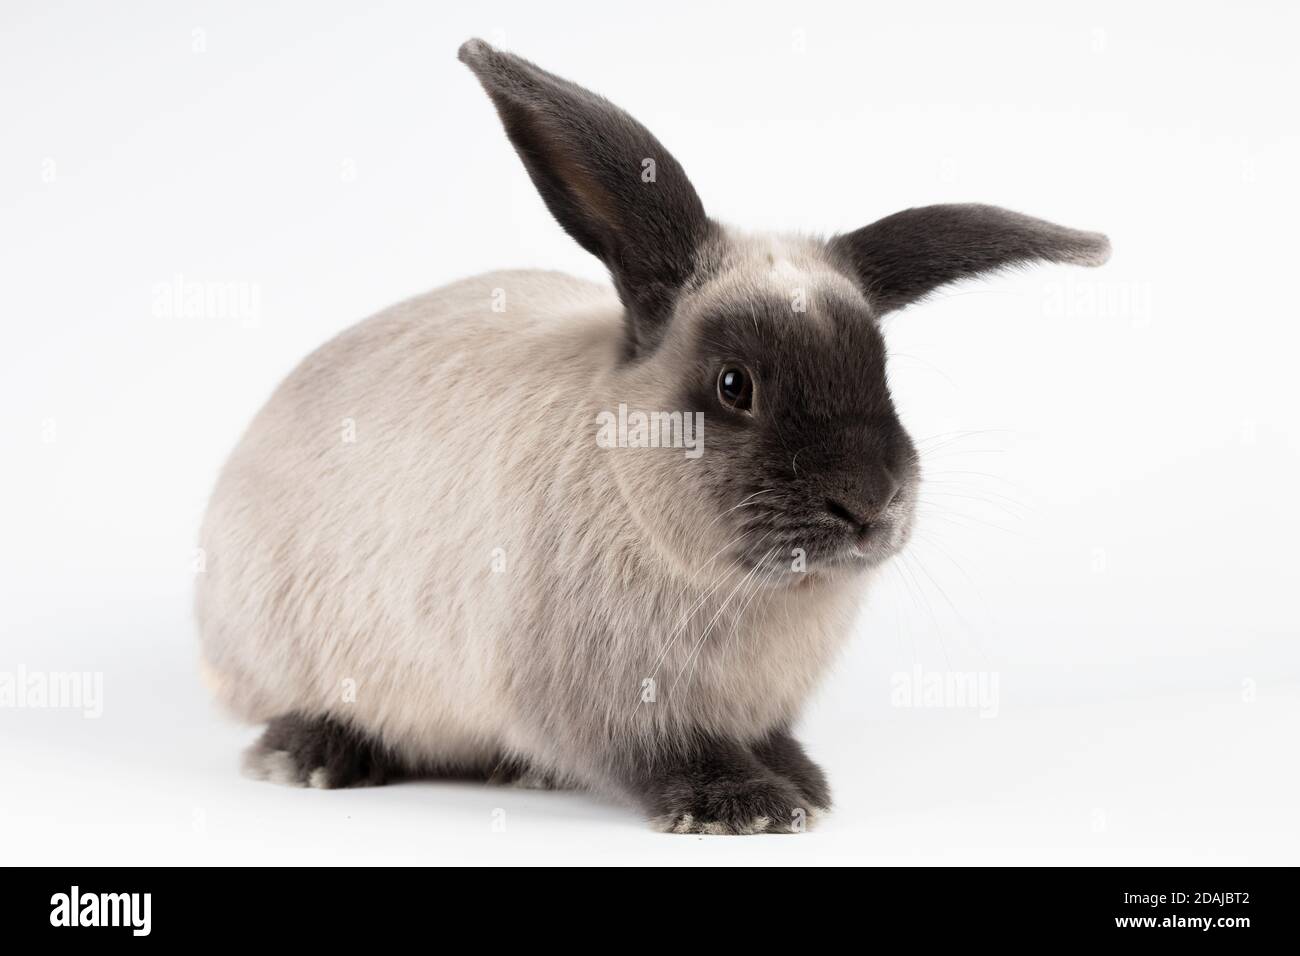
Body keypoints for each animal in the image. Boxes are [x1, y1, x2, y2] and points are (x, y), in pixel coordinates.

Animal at [195, 38, 1110, 834]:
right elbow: (661, 754)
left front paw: (805, 783)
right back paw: (312, 756)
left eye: (883, 372)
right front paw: (747, 808)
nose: (868, 503)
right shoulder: (601, 702)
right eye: (734, 385)